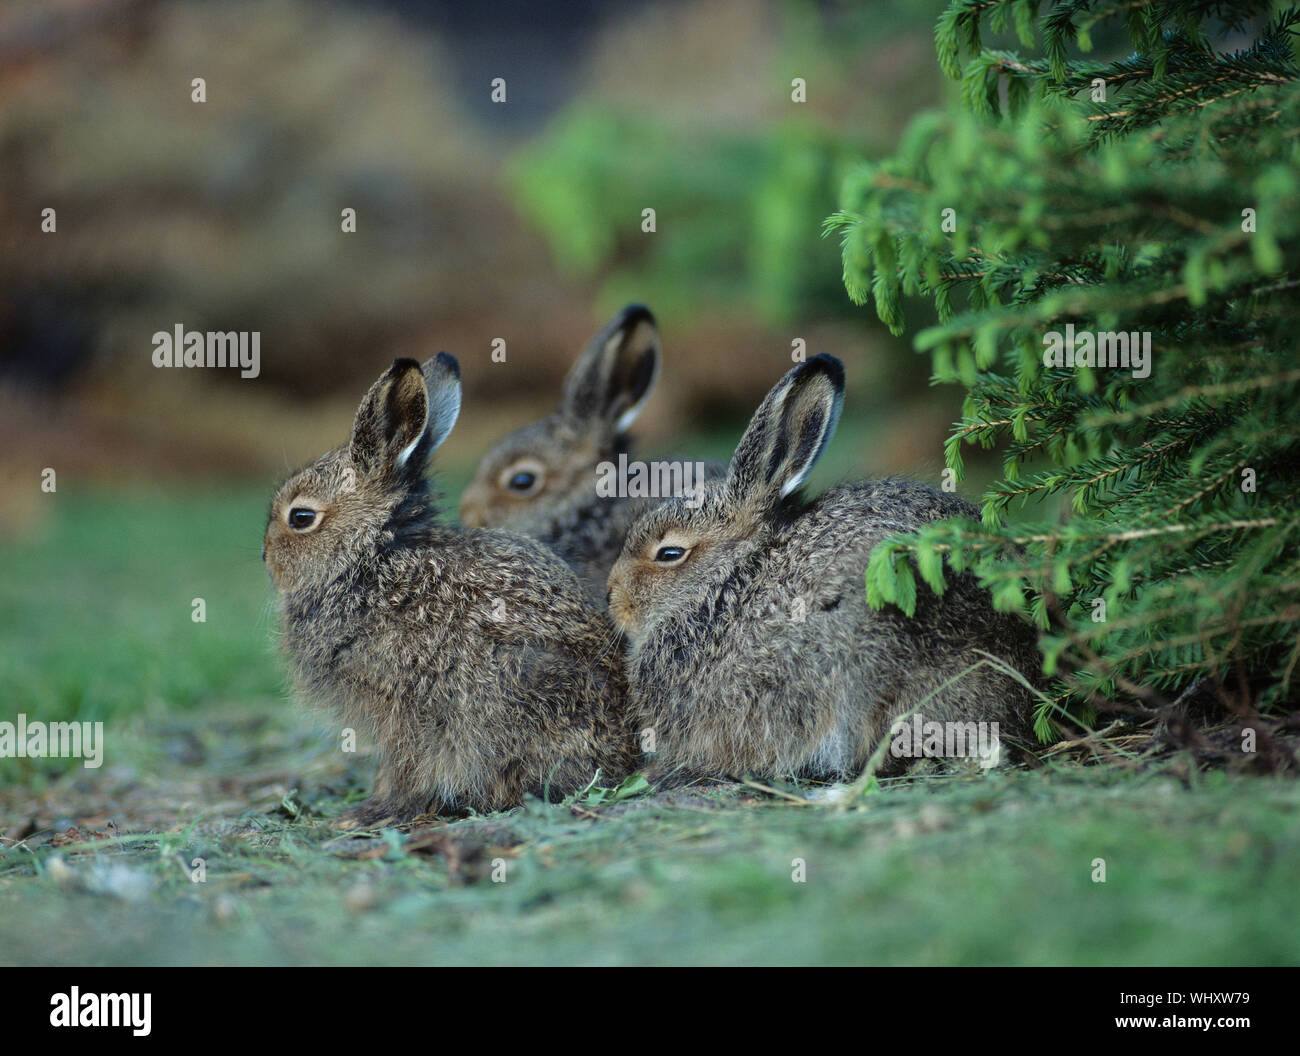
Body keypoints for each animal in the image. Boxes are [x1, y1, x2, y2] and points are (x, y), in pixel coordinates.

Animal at [263, 352, 635, 827]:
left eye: (301, 517)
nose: (266, 557)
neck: (368, 556)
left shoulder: (402, 704)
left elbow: (402, 765)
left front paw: (369, 812)